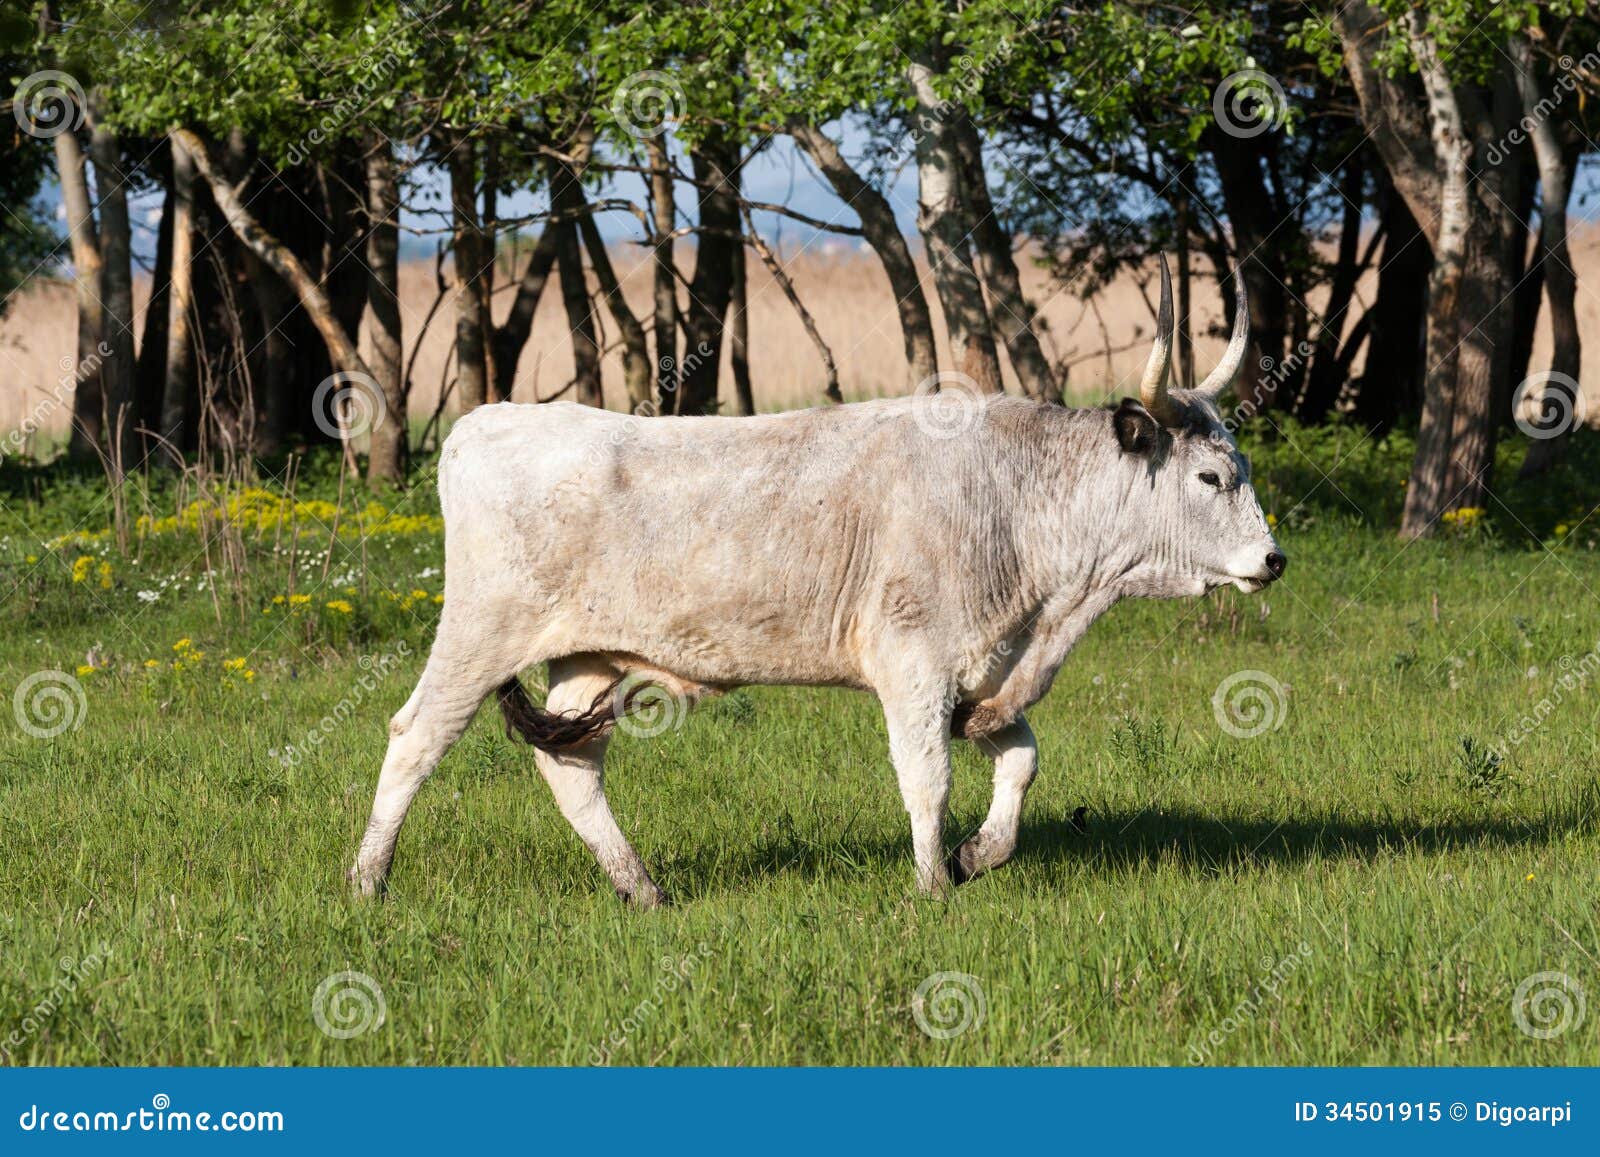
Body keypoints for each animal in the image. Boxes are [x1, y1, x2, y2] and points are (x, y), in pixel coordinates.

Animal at [350, 257, 1283, 907]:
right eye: (1210, 478)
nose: (1272, 560)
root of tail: (485, 419)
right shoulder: (914, 666)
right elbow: (928, 780)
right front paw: (933, 885)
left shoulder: (986, 675)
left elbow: (1021, 763)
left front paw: (977, 855)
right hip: (480, 634)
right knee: (412, 738)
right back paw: (368, 883)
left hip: (589, 657)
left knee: (573, 767)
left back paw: (641, 887)